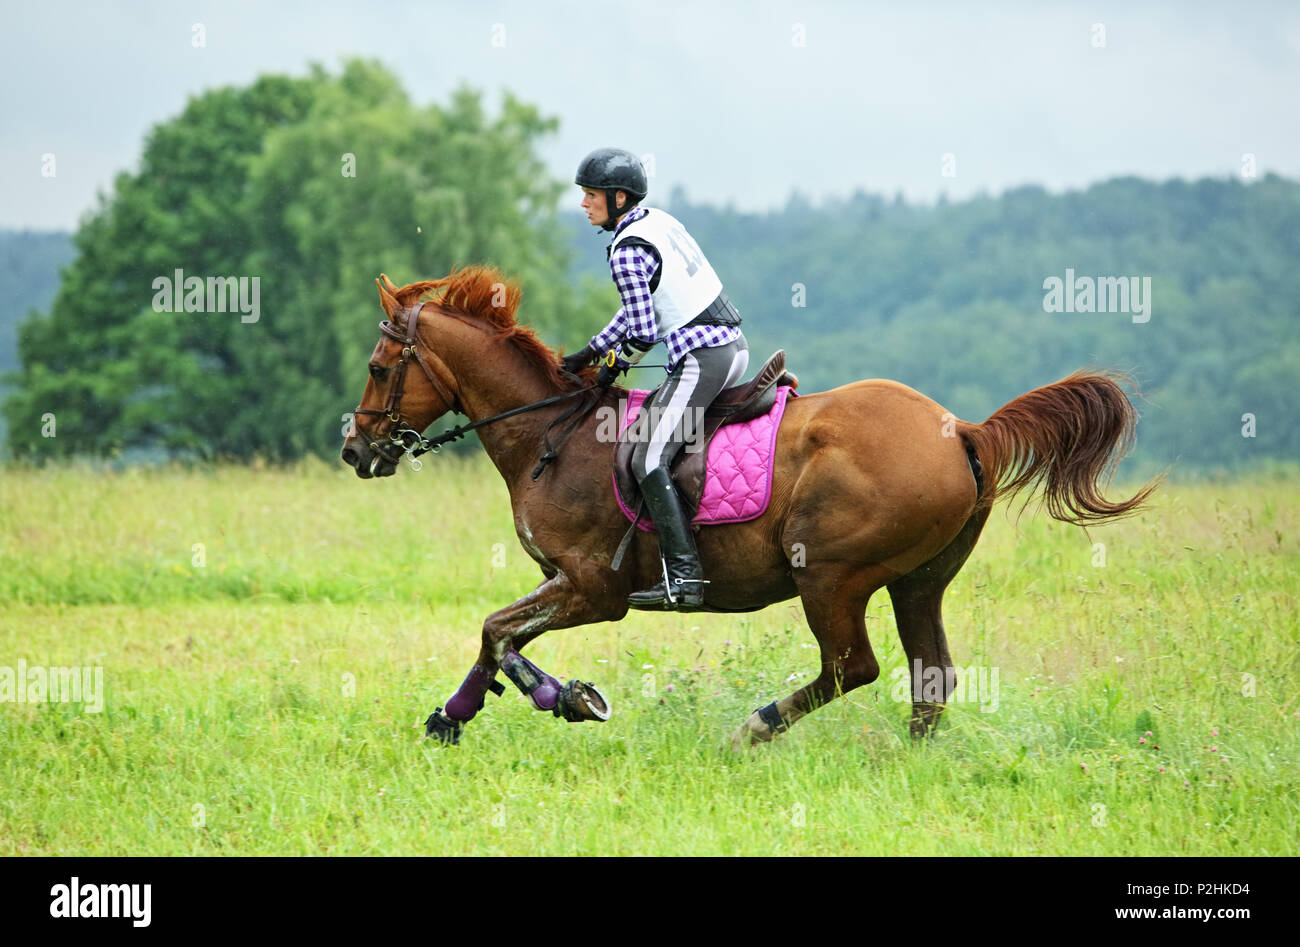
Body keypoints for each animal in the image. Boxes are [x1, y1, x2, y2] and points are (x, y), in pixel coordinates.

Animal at [341, 266, 1159, 749]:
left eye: (379, 367)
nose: (355, 450)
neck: (551, 434)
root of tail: (960, 428)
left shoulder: (595, 589)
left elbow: (499, 632)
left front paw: (570, 698)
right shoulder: (563, 583)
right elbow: (494, 638)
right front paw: (452, 717)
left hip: (830, 575)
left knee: (852, 667)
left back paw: (753, 729)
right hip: (917, 579)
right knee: (931, 676)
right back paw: (907, 756)